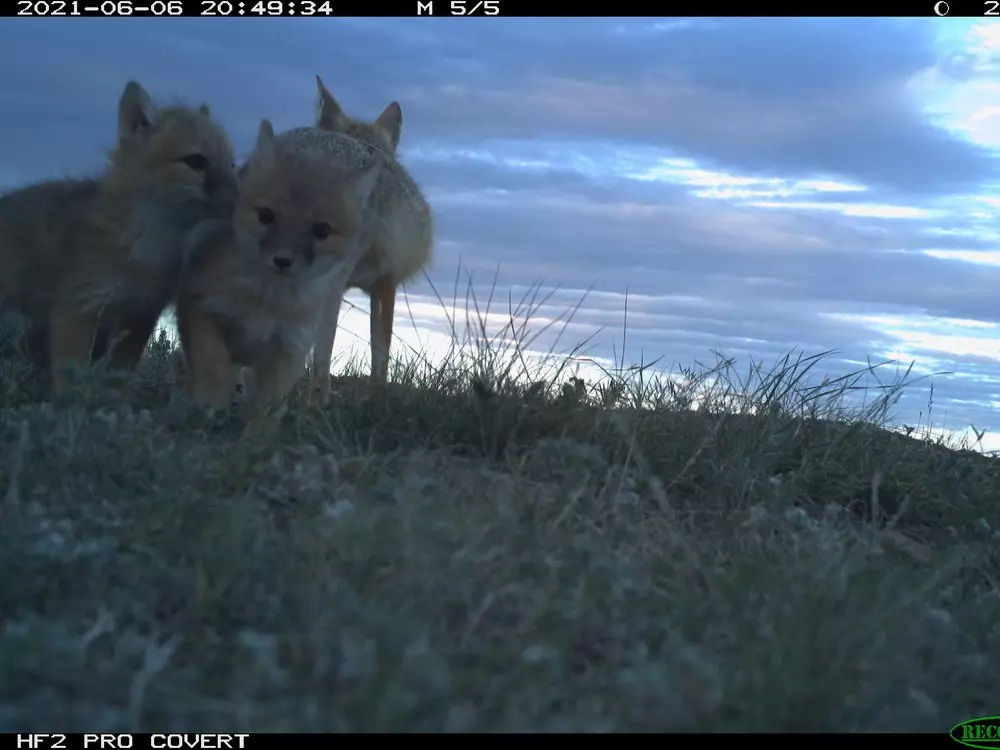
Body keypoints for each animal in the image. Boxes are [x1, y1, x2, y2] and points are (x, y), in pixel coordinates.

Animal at [0, 81, 235, 394]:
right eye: (196, 161)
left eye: (232, 164)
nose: (243, 195)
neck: (147, 246)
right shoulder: (77, 310)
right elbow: (69, 380)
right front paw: (69, 403)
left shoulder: (140, 315)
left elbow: (118, 379)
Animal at [174, 119, 380, 412]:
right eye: (266, 215)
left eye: (321, 231)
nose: (282, 260)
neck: (267, 301)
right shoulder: (201, 308)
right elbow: (212, 369)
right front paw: (209, 409)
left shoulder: (288, 351)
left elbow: (264, 411)